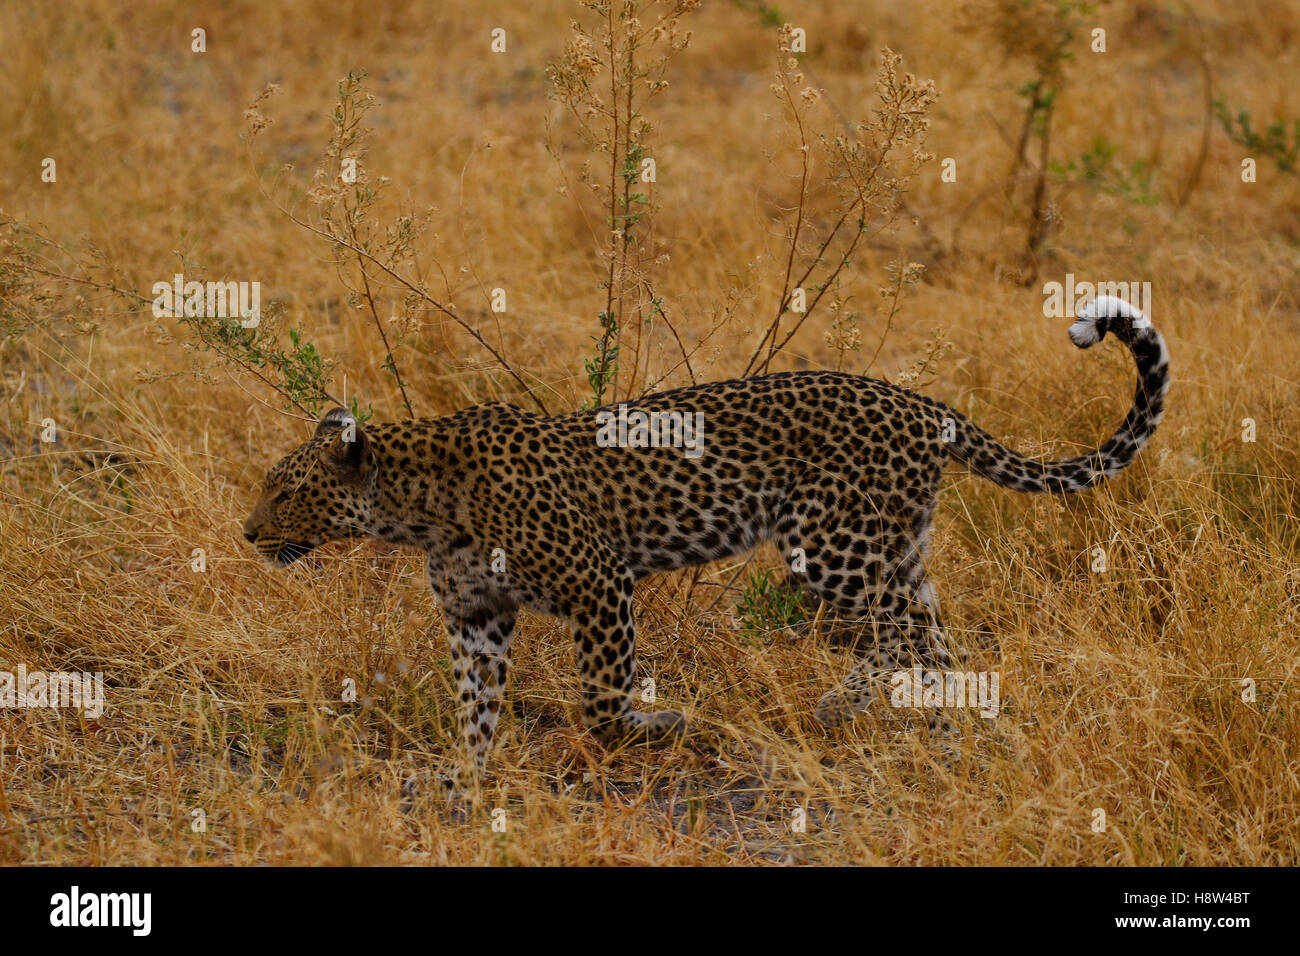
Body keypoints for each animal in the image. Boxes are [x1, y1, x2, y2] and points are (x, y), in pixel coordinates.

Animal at [243, 295, 1169, 792]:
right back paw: (928, 723)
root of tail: (924, 405)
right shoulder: (477, 616)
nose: (247, 533)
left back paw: (877, 712)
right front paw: (465, 779)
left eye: (285, 490)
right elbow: (476, 703)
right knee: (929, 632)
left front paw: (654, 726)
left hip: (834, 546)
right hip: (890, 546)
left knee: (904, 631)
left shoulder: (598, 585)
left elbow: (600, 698)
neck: (419, 507)